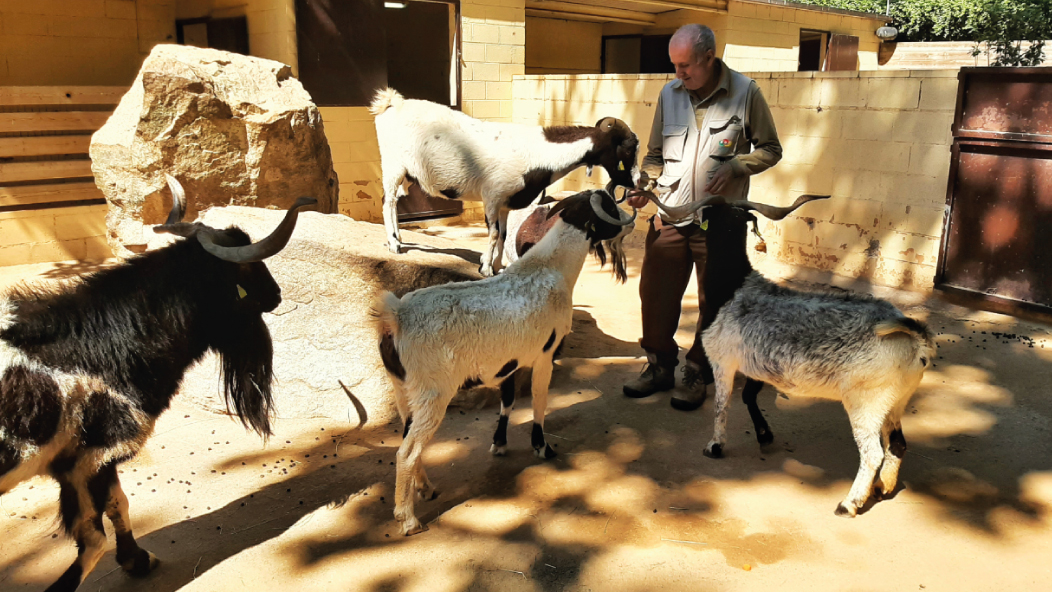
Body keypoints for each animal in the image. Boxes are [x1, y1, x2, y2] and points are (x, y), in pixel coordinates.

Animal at [0, 176, 314, 592]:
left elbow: (118, 504)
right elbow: (94, 539)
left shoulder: (89, 464)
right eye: (247, 267)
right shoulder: (89, 459)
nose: (277, 294)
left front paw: (137, 560)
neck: (93, 347)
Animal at [370, 87, 641, 277]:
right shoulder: (492, 196)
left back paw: (399, 238)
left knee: (393, 201)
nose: (637, 181)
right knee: (388, 201)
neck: (538, 153)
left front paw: (499, 266)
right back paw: (394, 244)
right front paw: (486, 269)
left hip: (407, 173)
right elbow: (491, 234)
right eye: (628, 148)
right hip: (393, 164)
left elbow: (503, 233)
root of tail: (393, 103)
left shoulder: (506, 202)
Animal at [373, 189, 636, 535]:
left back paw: (426, 489)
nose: (631, 223)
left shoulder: (512, 361)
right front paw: (542, 447)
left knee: (407, 436)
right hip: (433, 392)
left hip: (403, 389)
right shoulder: (545, 353)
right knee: (407, 450)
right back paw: (409, 519)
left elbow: (508, 399)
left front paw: (499, 444)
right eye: (609, 208)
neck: (549, 268)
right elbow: (539, 399)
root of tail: (396, 318)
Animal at [671, 193, 936, 518]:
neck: (731, 287)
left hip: (866, 400)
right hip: (896, 399)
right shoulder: (757, 363)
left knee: (873, 452)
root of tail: (915, 338)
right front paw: (764, 435)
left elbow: (722, 406)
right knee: (897, 443)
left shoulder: (723, 361)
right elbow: (749, 395)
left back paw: (849, 503)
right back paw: (883, 487)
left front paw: (715, 446)